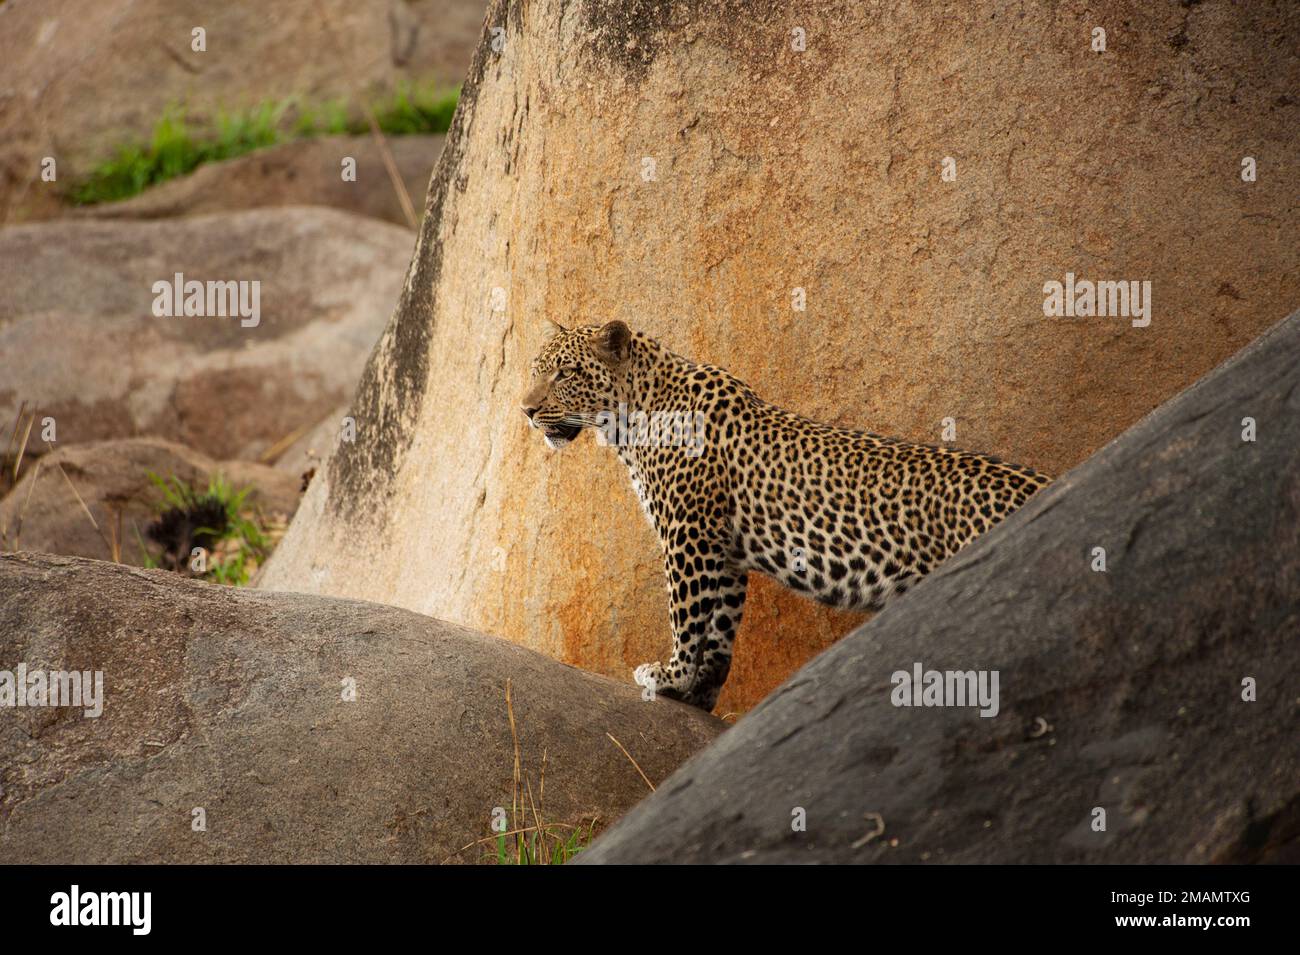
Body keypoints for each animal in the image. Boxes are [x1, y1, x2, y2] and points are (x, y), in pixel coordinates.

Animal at [522, 319, 1051, 711]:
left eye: (565, 374)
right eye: (536, 370)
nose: (525, 410)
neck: (634, 417)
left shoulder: (688, 535)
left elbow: (687, 615)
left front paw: (669, 676)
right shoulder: (725, 552)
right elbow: (720, 628)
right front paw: (700, 693)